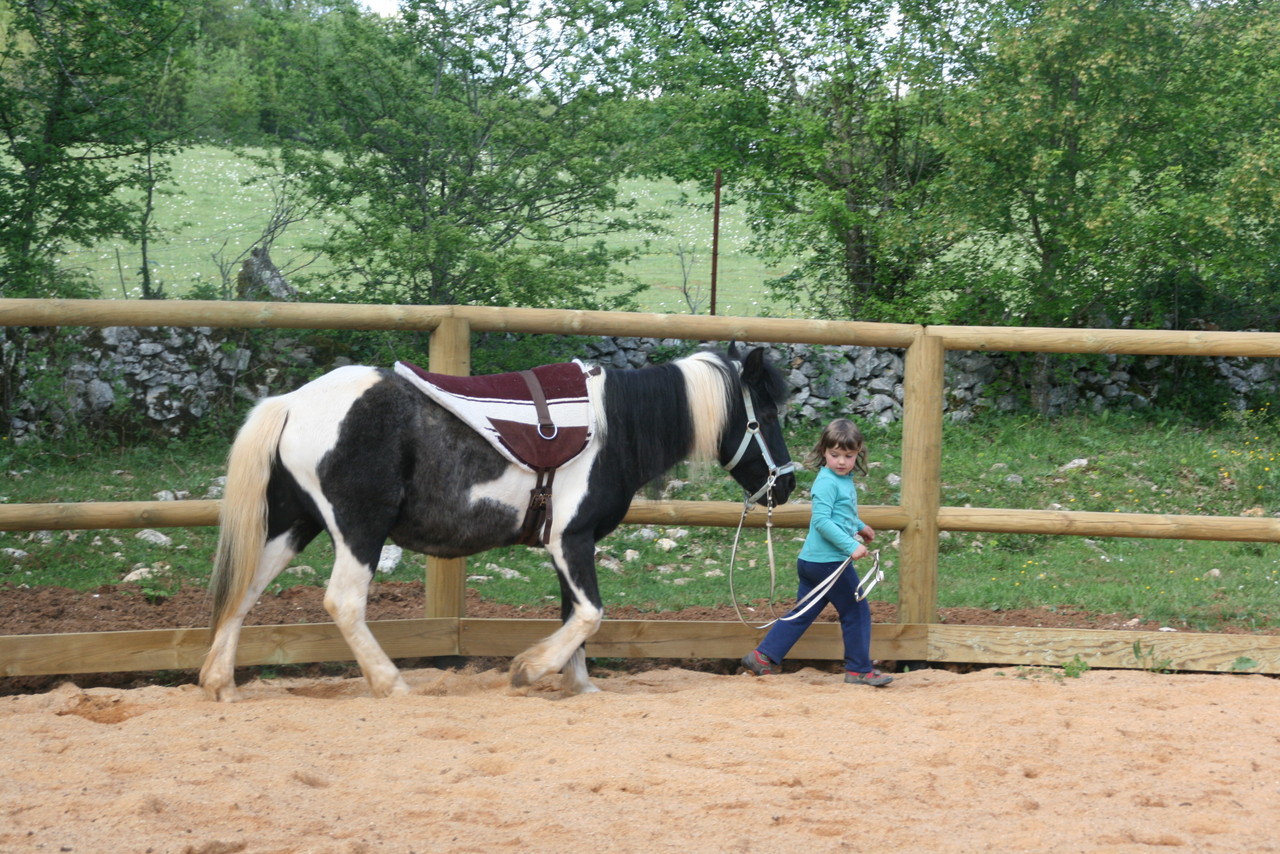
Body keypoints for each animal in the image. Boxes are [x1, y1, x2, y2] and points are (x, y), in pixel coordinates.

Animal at [198, 344, 796, 701]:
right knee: (343, 602)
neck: (613, 428)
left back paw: (220, 682)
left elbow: (574, 615)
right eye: (766, 416)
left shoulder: (570, 545)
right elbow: (589, 615)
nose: (785, 485)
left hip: (293, 524)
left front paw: (579, 687)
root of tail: (292, 403)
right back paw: (391, 683)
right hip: (358, 529)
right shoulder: (570, 540)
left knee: (244, 591)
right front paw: (530, 670)